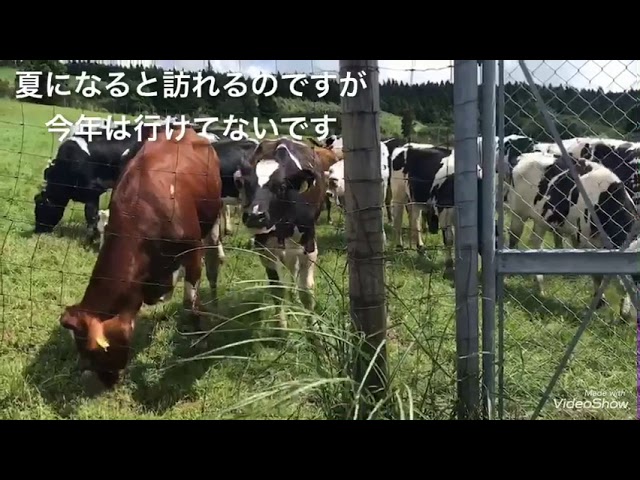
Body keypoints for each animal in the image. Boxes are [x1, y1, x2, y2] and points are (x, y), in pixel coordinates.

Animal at [58, 127, 223, 390]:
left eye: (93, 351)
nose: (107, 382)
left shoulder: (192, 251)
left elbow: (191, 302)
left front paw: (200, 340)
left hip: (213, 221)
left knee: (213, 264)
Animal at [230, 138, 326, 330]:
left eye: (281, 186)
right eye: (246, 184)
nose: (255, 216)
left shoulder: (309, 245)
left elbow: (307, 290)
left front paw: (313, 328)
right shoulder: (264, 249)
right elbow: (277, 289)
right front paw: (281, 327)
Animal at [505, 151, 637, 307]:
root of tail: (525, 155)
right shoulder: (586, 239)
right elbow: (597, 274)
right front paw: (600, 301)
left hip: (541, 217)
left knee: (536, 242)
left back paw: (540, 287)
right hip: (518, 212)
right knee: (514, 237)